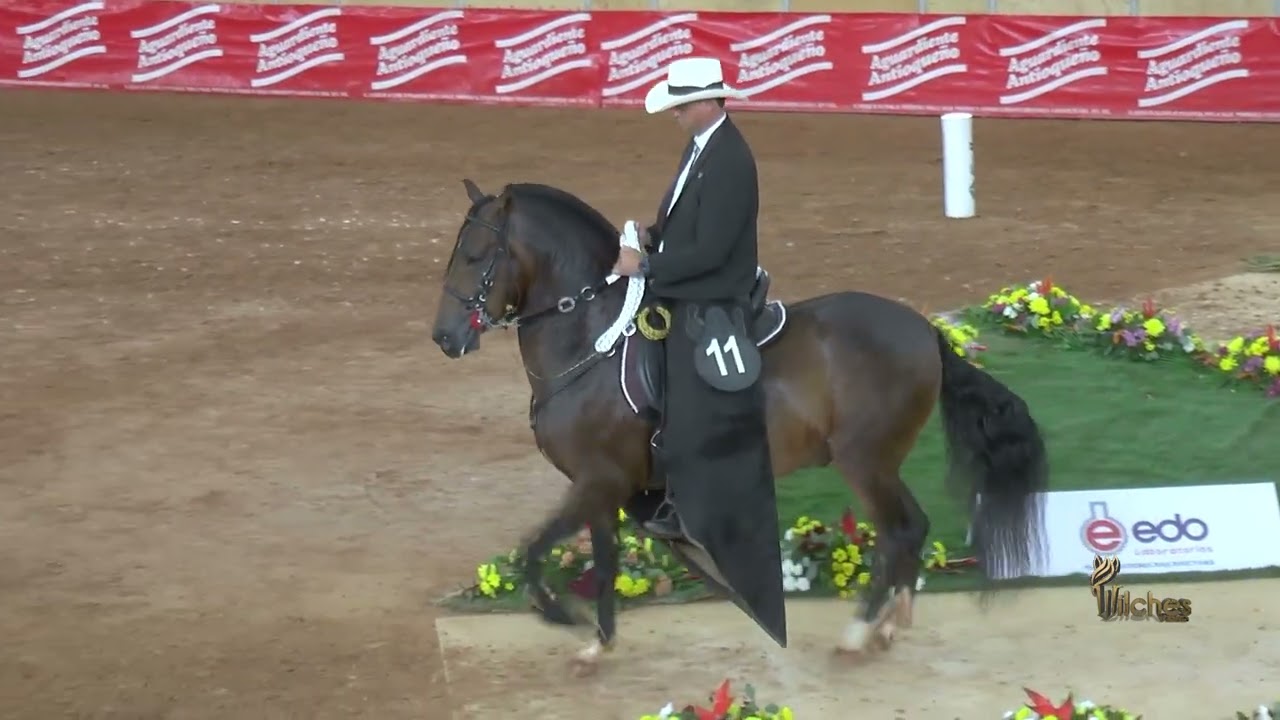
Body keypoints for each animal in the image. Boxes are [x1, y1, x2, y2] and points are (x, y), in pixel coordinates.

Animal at [430, 178, 1048, 673]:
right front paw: (598, 644)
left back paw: (859, 633)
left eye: (476, 254)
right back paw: (889, 625)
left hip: (865, 461)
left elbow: (533, 551)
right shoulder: (601, 487)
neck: (592, 337)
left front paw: (563, 616)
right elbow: (602, 563)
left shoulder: (599, 479)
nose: (444, 337)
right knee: (910, 530)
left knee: (901, 530)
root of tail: (925, 332)